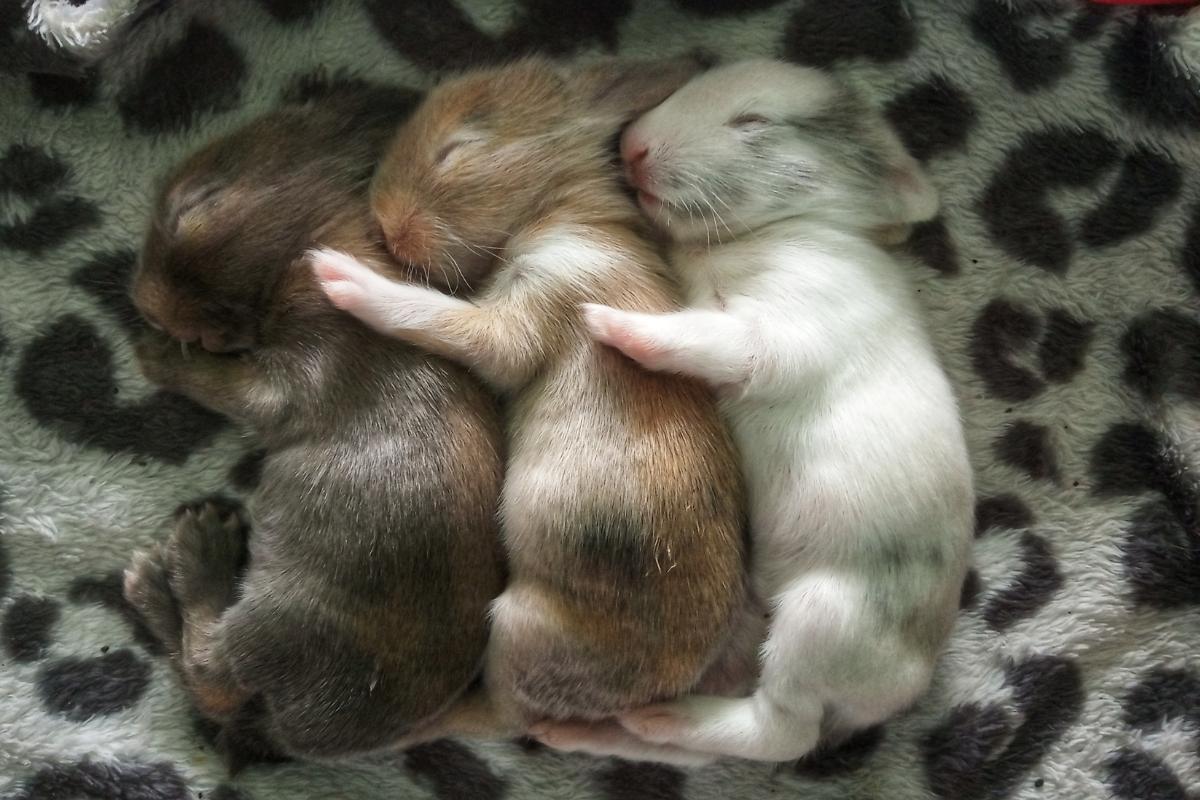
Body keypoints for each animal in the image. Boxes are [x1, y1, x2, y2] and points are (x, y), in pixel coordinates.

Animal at [122, 87, 507, 765]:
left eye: (194, 205)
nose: (141, 302)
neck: (323, 229)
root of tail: (301, 734)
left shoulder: (294, 370)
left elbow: (230, 387)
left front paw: (157, 354)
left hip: (277, 619)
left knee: (211, 676)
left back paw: (187, 561)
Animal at [307, 56, 747, 753]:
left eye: (456, 148)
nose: (384, 224)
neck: (559, 205)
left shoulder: (544, 294)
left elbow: (446, 320)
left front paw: (344, 277)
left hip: (515, 626)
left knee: (506, 719)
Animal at [540, 59, 974, 764]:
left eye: (752, 121)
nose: (633, 147)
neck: (795, 224)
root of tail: (897, 694)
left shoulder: (781, 331)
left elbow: (713, 339)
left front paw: (609, 323)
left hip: (821, 618)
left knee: (781, 732)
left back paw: (664, 718)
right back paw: (597, 726)